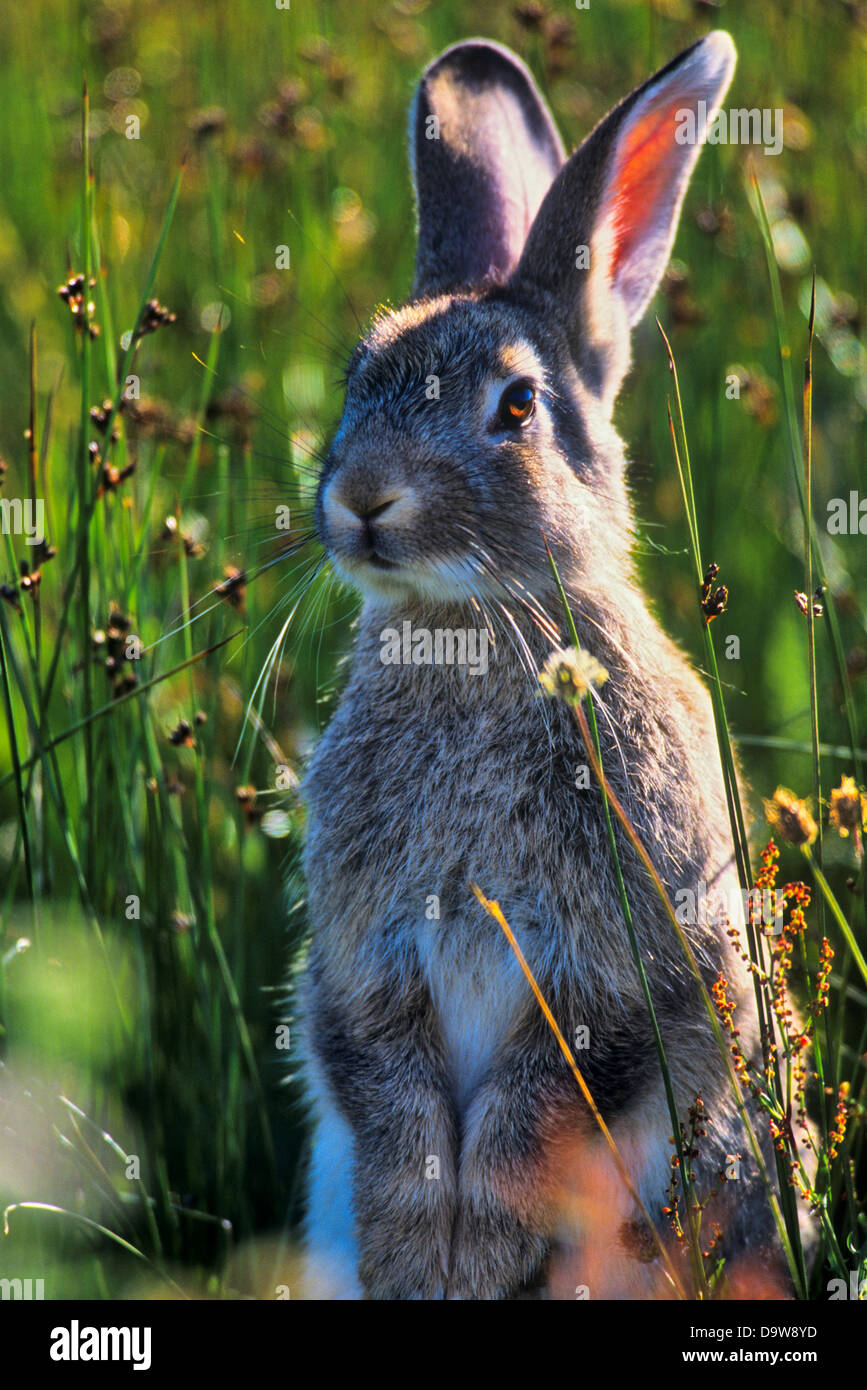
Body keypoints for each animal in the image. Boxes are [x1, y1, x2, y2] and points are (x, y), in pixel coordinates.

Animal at [298, 31, 792, 1300]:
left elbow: (554, 1099)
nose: (362, 496)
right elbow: (387, 1092)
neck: (476, 626)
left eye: (516, 407)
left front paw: (480, 1249)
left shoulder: (630, 961)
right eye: (356, 378)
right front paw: (417, 1251)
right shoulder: (364, 966)